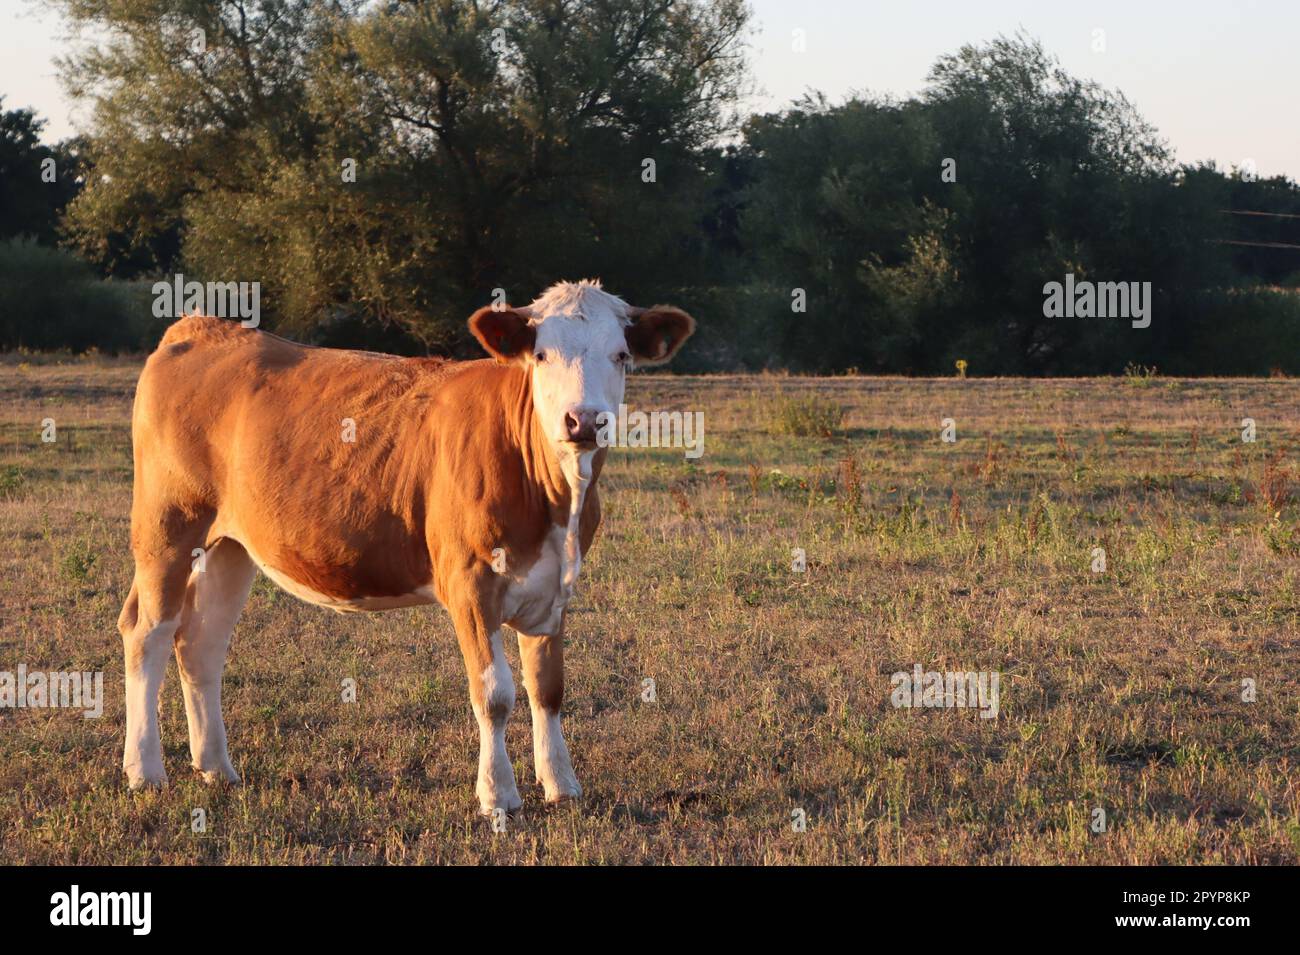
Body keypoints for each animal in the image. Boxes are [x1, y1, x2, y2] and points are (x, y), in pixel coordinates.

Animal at [117, 280, 694, 815]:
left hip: (231, 545)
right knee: (148, 632)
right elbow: (495, 694)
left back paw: (216, 767)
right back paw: (145, 770)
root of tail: (202, 327)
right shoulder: (469, 582)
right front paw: (498, 794)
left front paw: (561, 784)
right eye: (542, 355)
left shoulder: (556, 586)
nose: (584, 420)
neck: (555, 499)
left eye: (620, 355)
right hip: (167, 527)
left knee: (201, 643)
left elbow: (547, 688)